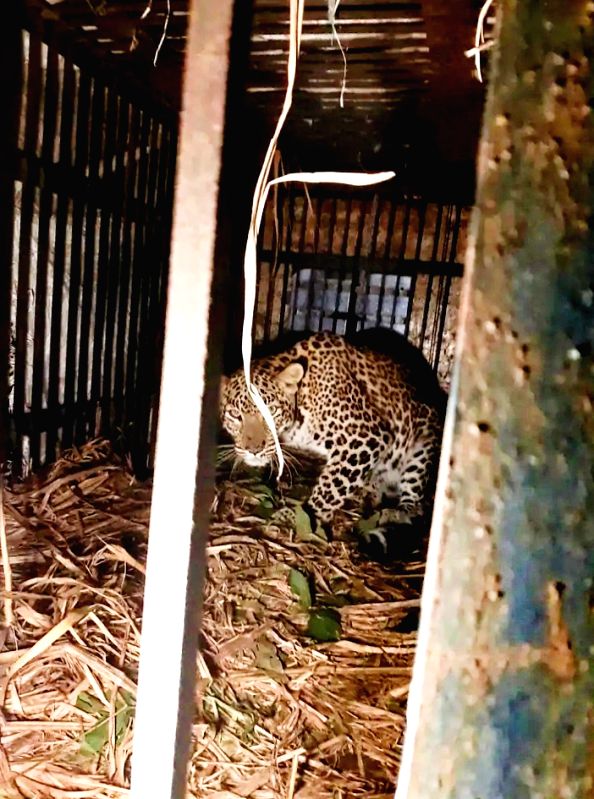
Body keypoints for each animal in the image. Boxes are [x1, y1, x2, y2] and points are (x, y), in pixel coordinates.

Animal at [219, 329, 446, 537]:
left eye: (271, 411)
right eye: (235, 415)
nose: (253, 450)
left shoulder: (366, 438)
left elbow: (331, 487)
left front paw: (299, 517)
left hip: (422, 446)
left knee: (415, 502)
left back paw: (397, 513)